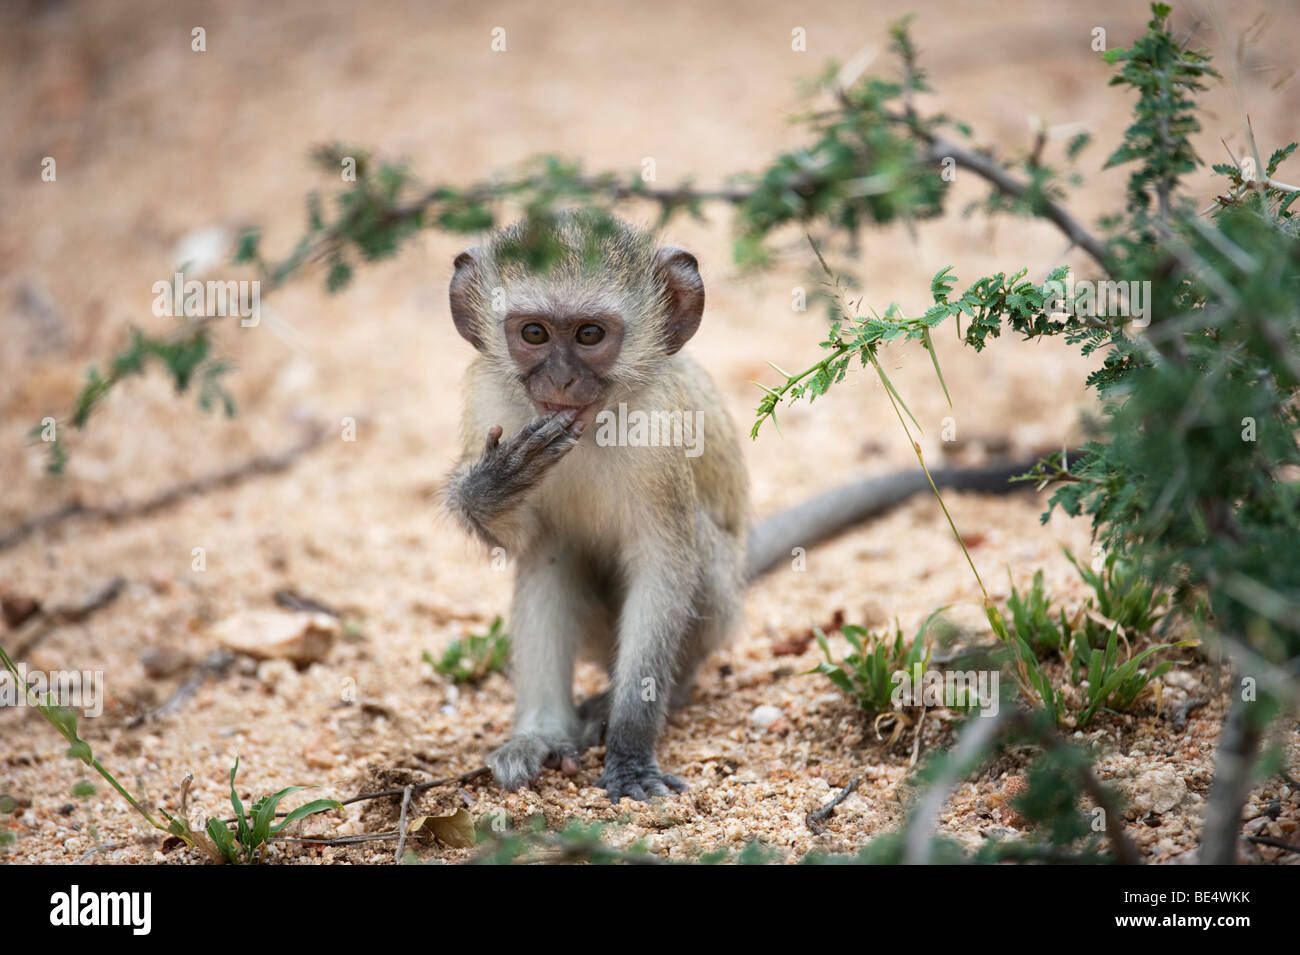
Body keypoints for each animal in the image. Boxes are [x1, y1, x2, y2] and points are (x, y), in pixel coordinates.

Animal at [444, 211, 1042, 802]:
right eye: (534, 333)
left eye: (590, 334)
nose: (561, 379)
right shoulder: (489, 406)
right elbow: (523, 539)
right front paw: (492, 485)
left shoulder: (661, 437)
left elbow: (664, 567)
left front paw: (631, 751)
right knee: (552, 555)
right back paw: (542, 735)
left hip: (719, 604)